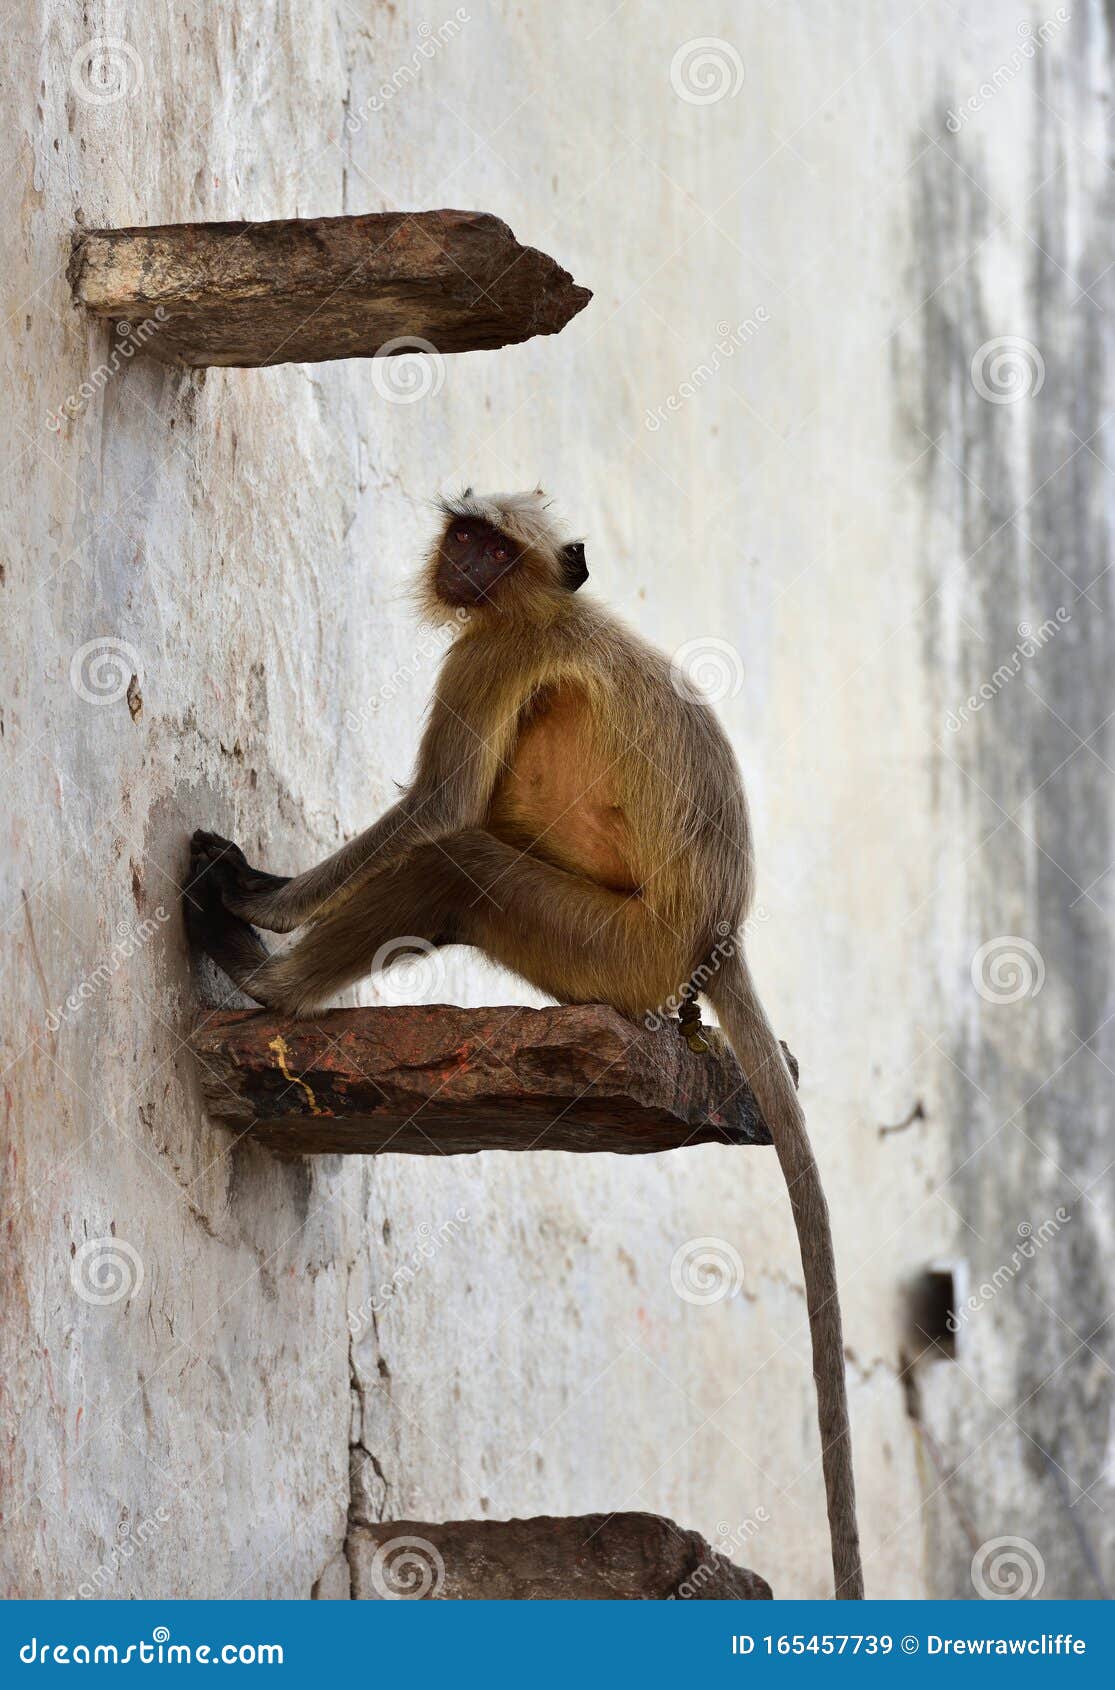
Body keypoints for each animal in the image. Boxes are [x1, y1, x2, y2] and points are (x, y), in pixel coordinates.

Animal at [186, 488, 864, 1600]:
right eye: (464, 534)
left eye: (492, 548)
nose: (463, 565)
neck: (549, 609)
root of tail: (717, 935)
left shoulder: (494, 654)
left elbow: (433, 810)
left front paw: (254, 899)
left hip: (610, 947)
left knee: (457, 856)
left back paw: (260, 981)